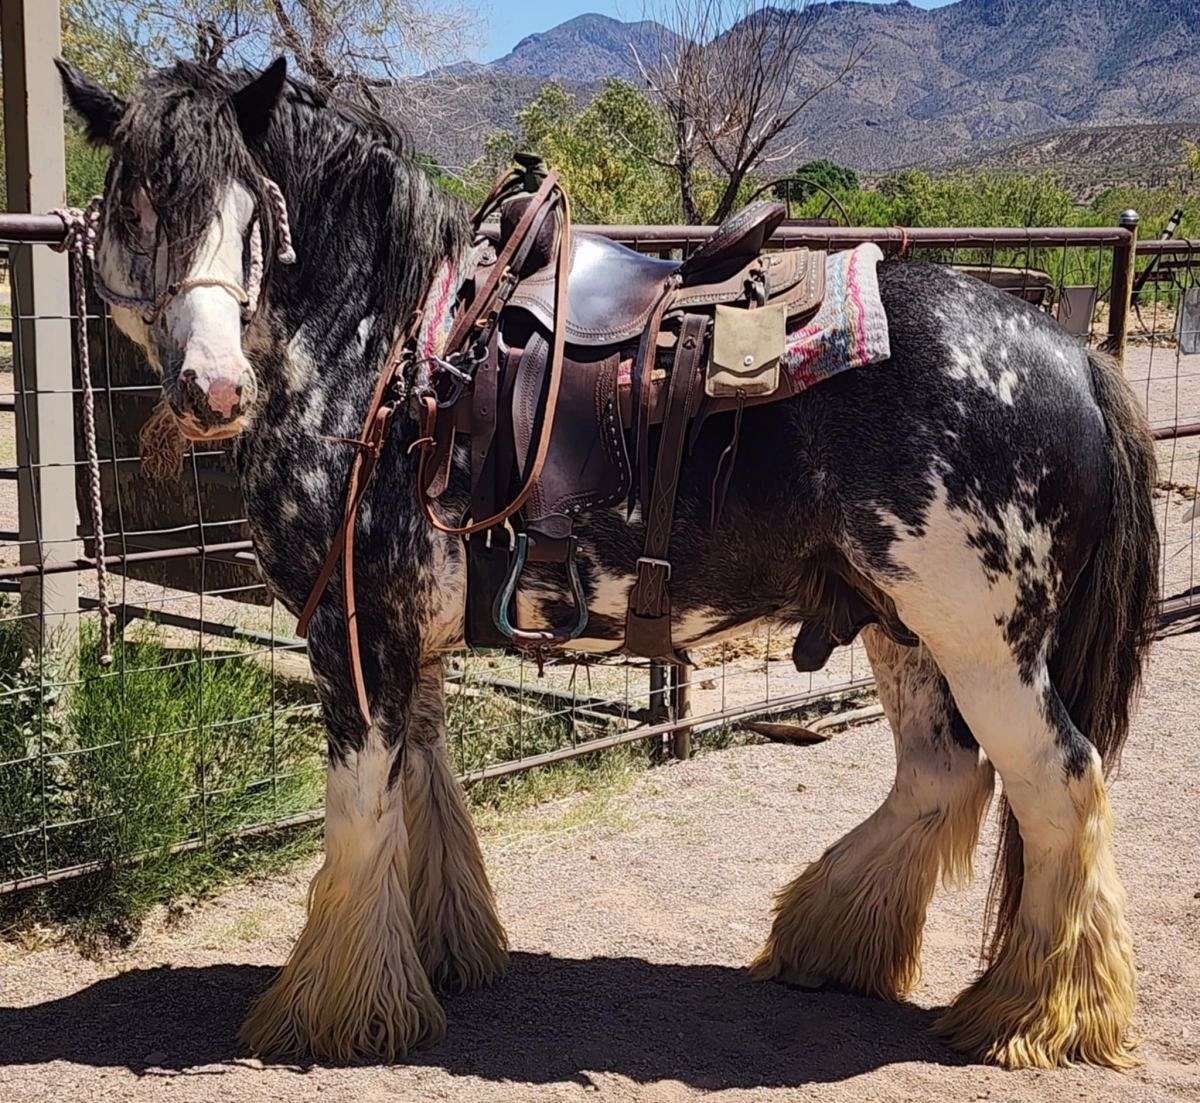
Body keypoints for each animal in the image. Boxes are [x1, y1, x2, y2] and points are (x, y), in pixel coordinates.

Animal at [57, 57, 1158, 1070]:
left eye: (254, 214)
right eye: (134, 202)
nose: (211, 389)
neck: (390, 352)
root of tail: (1073, 357)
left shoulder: (353, 635)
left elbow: (362, 812)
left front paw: (335, 1009)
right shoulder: (414, 640)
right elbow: (426, 790)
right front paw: (445, 950)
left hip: (987, 645)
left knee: (1059, 783)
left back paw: (1038, 1012)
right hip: (903, 629)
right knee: (943, 773)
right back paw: (834, 938)